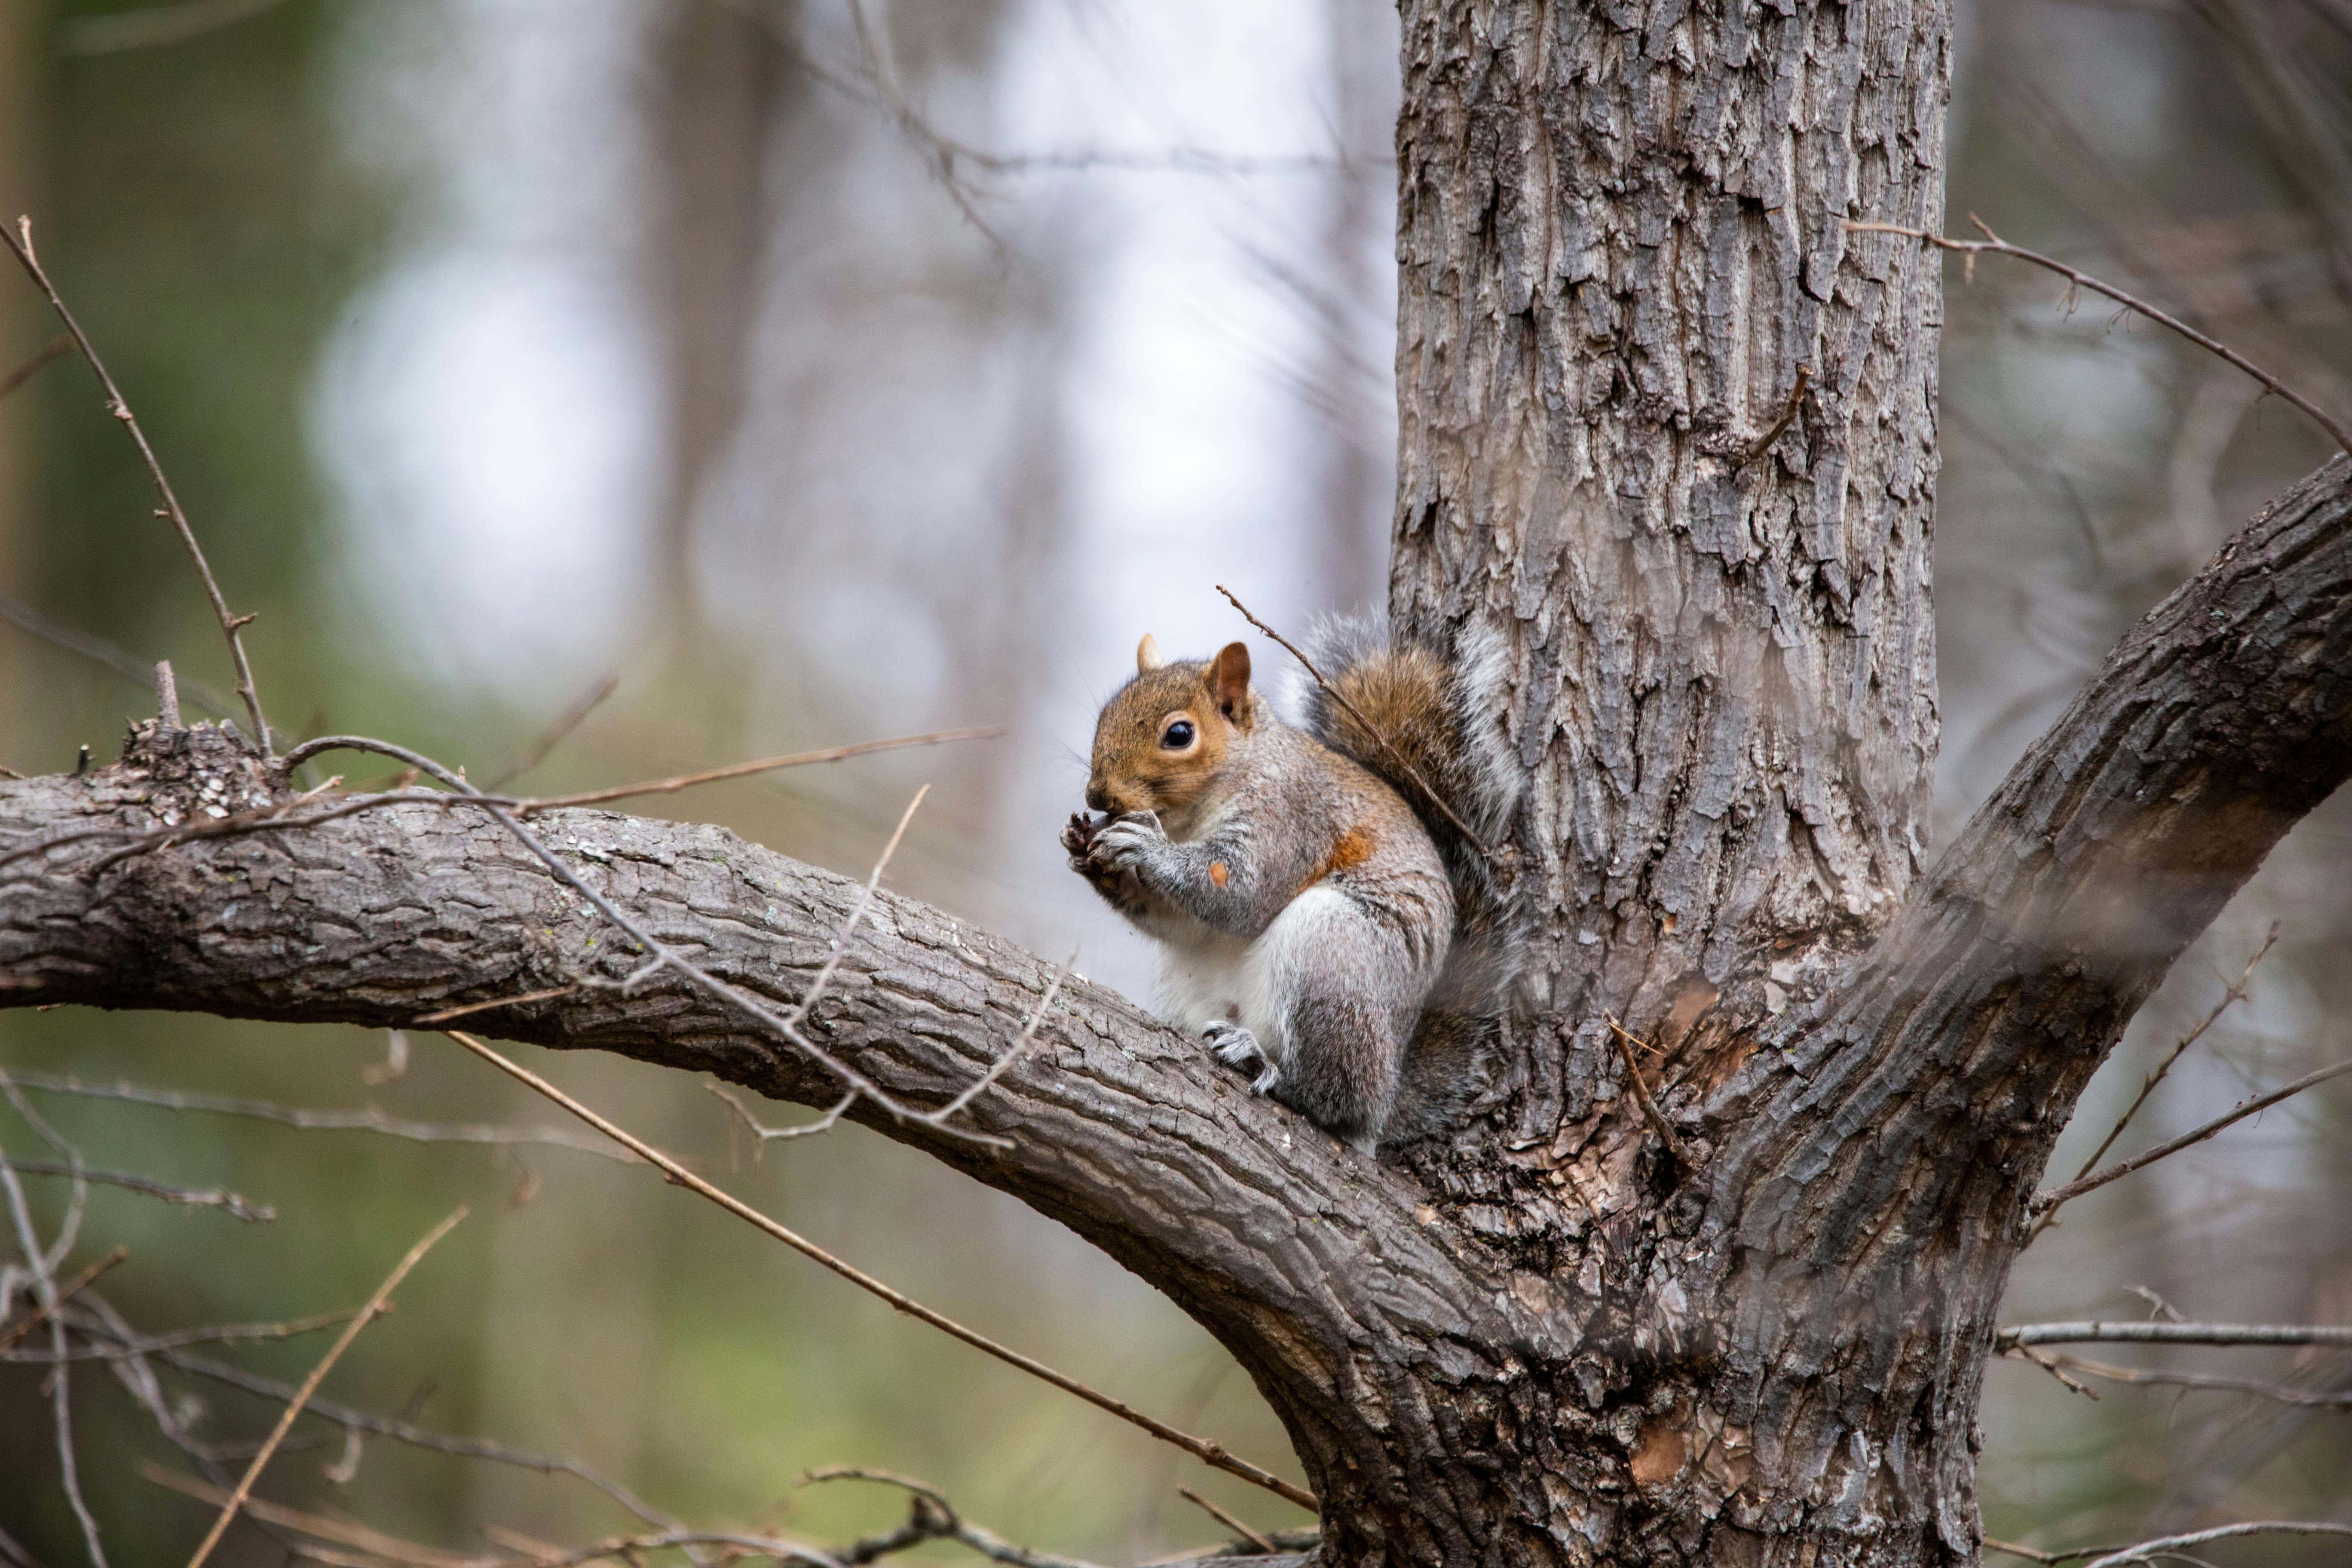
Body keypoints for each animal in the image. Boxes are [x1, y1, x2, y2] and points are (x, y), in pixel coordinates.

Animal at [1061, 616, 1521, 1152]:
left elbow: (1241, 895)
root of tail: (1386, 1100)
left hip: (1332, 953)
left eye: (1179, 734)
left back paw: (1267, 1065)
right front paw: (1088, 852)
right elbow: (1183, 922)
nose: (1098, 795)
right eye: (1106, 714)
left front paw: (1143, 846)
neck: (1192, 817)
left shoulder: (1290, 820)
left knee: (1336, 1098)